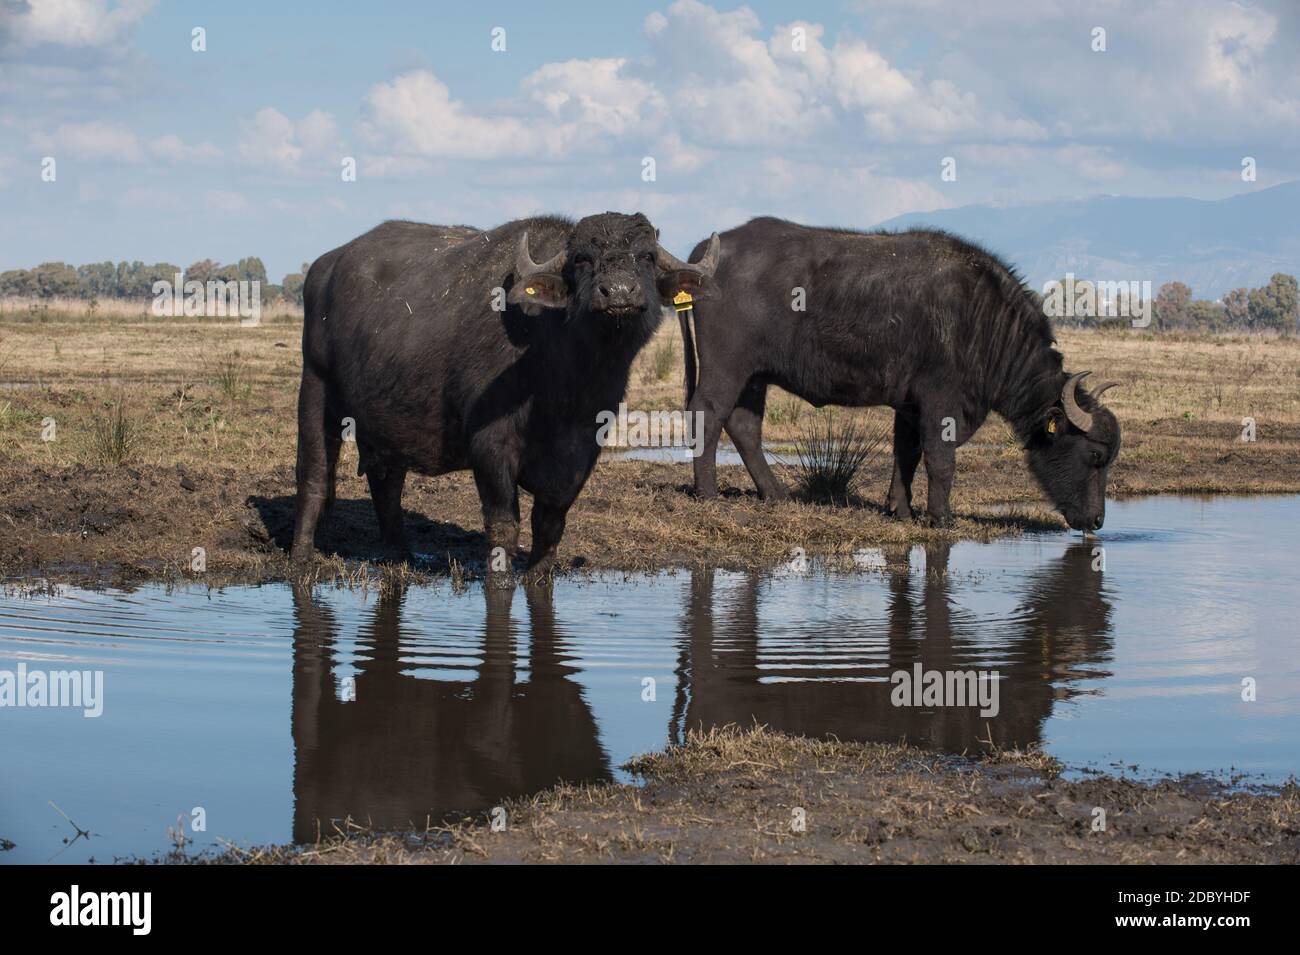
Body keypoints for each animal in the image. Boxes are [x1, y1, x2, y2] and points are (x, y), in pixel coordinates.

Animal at [291, 213, 721, 575]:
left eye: (646, 256)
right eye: (582, 259)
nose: (617, 293)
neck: (567, 380)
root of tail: (326, 265)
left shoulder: (581, 455)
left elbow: (549, 528)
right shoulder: (490, 448)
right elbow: (502, 528)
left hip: (390, 422)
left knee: (387, 486)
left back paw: (401, 556)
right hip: (315, 388)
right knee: (313, 476)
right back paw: (300, 557)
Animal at [677, 217, 1120, 531]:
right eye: (1095, 456)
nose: (1098, 520)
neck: (981, 322)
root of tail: (702, 260)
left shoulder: (908, 406)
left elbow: (905, 453)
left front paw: (900, 508)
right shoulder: (940, 402)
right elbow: (940, 459)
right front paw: (941, 516)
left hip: (755, 375)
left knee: (744, 425)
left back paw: (775, 494)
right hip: (727, 366)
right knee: (708, 413)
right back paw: (708, 492)